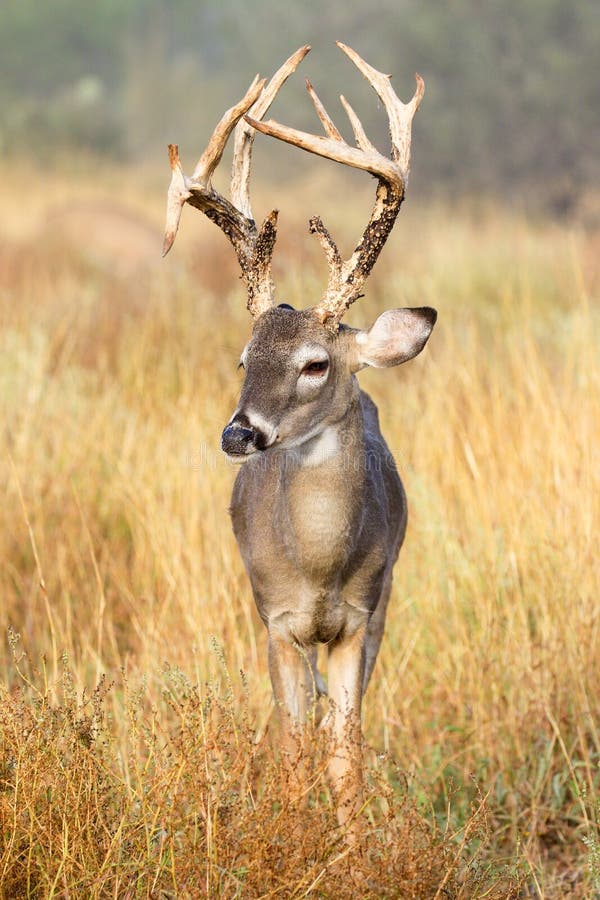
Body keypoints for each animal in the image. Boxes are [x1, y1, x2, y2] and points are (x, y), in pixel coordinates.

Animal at [163, 42, 436, 830]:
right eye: (244, 360)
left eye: (316, 363)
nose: (238, 433)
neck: (317, 568)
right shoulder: (277, 619)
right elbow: (290, 750)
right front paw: (290, 827)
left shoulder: (358, 618)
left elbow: (345, 756)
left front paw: (347, 845)